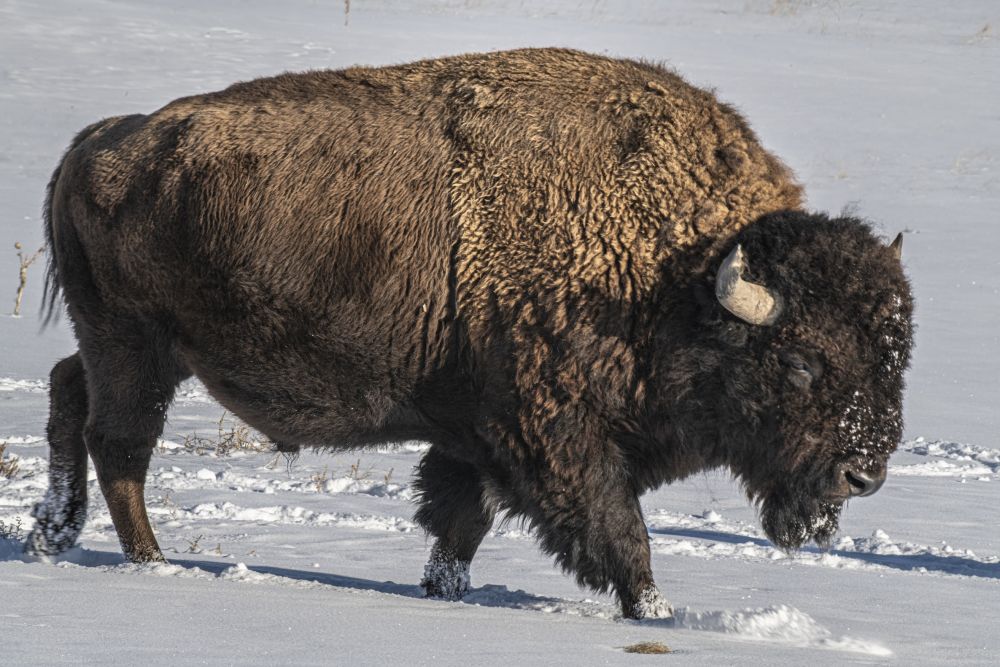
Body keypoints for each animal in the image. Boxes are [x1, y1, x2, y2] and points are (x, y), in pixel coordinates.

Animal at [27, 48, 913, 619]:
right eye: (802, 363)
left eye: (894, 359)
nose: (864, 473)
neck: (676, 274)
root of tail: (97, 141)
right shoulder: (558, 440)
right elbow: (619, 534)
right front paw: (657, 613)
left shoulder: (476, 436)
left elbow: (460, 523)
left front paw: (441, 593)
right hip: (137, 349)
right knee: (119, 444)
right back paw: (151, 562)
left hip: (127, 347)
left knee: (70, 393)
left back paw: (52, 536)